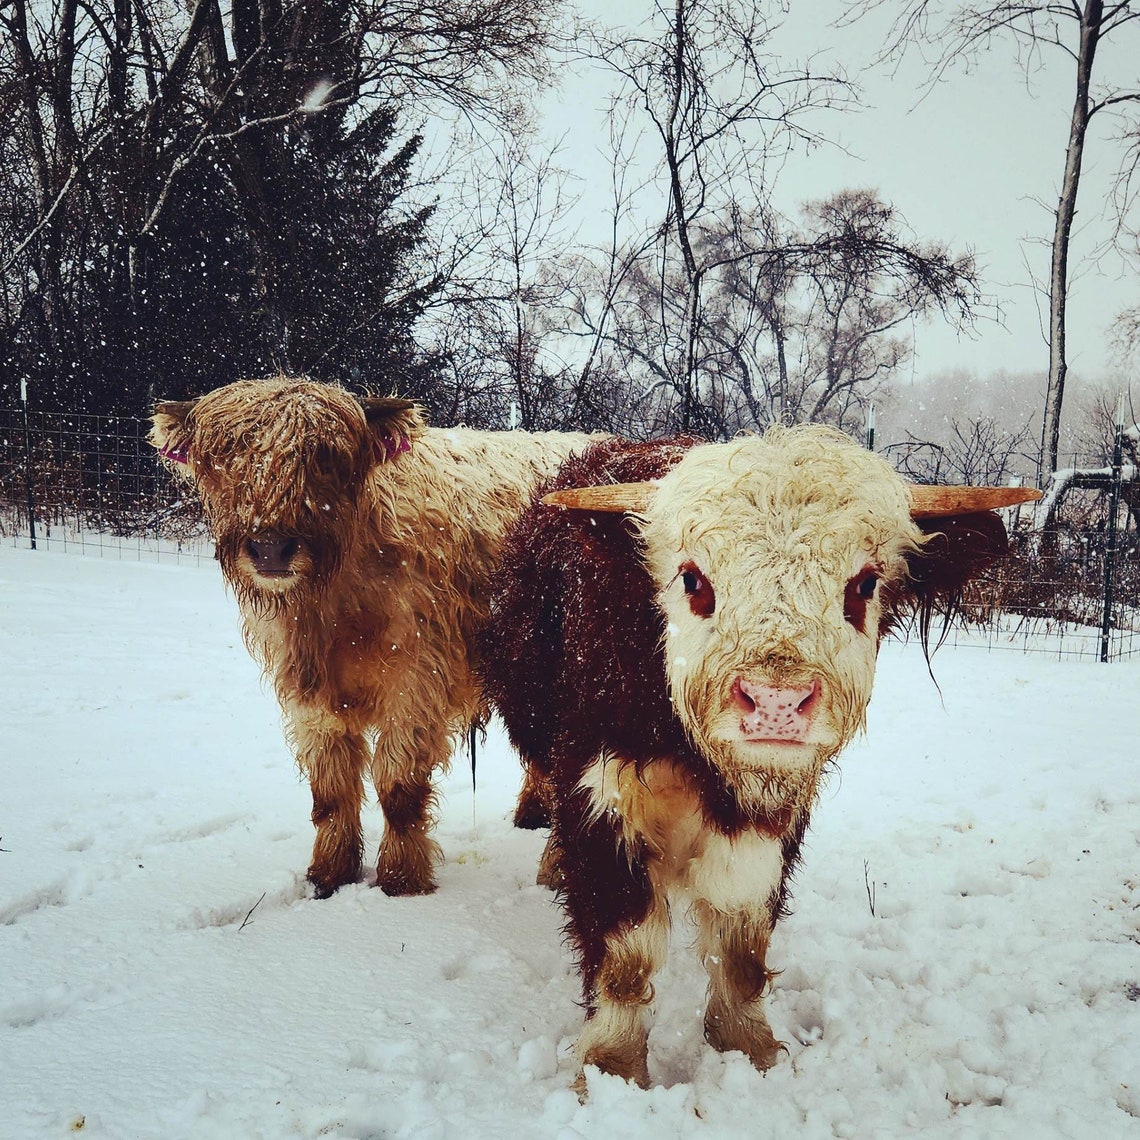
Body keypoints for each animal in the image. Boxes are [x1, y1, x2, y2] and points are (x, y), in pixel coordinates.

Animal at [151, 375, 593, 898]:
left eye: (325, 454)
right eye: (223, 456)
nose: (270, 547)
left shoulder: (418, 680)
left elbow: (397, 786)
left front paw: (401, 878)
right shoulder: (311, 697)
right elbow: (330, 790)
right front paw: (329, 872)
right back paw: (533, 814)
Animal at [481, 427, 1037, 1091]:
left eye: (864, 583)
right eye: (692, 579)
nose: (777, 702)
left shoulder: (770, 818)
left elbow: (742, 941)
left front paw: (746, 1045)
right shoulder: (602, 798)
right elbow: (625, 950)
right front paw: (612, 1065)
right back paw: (552, 866)